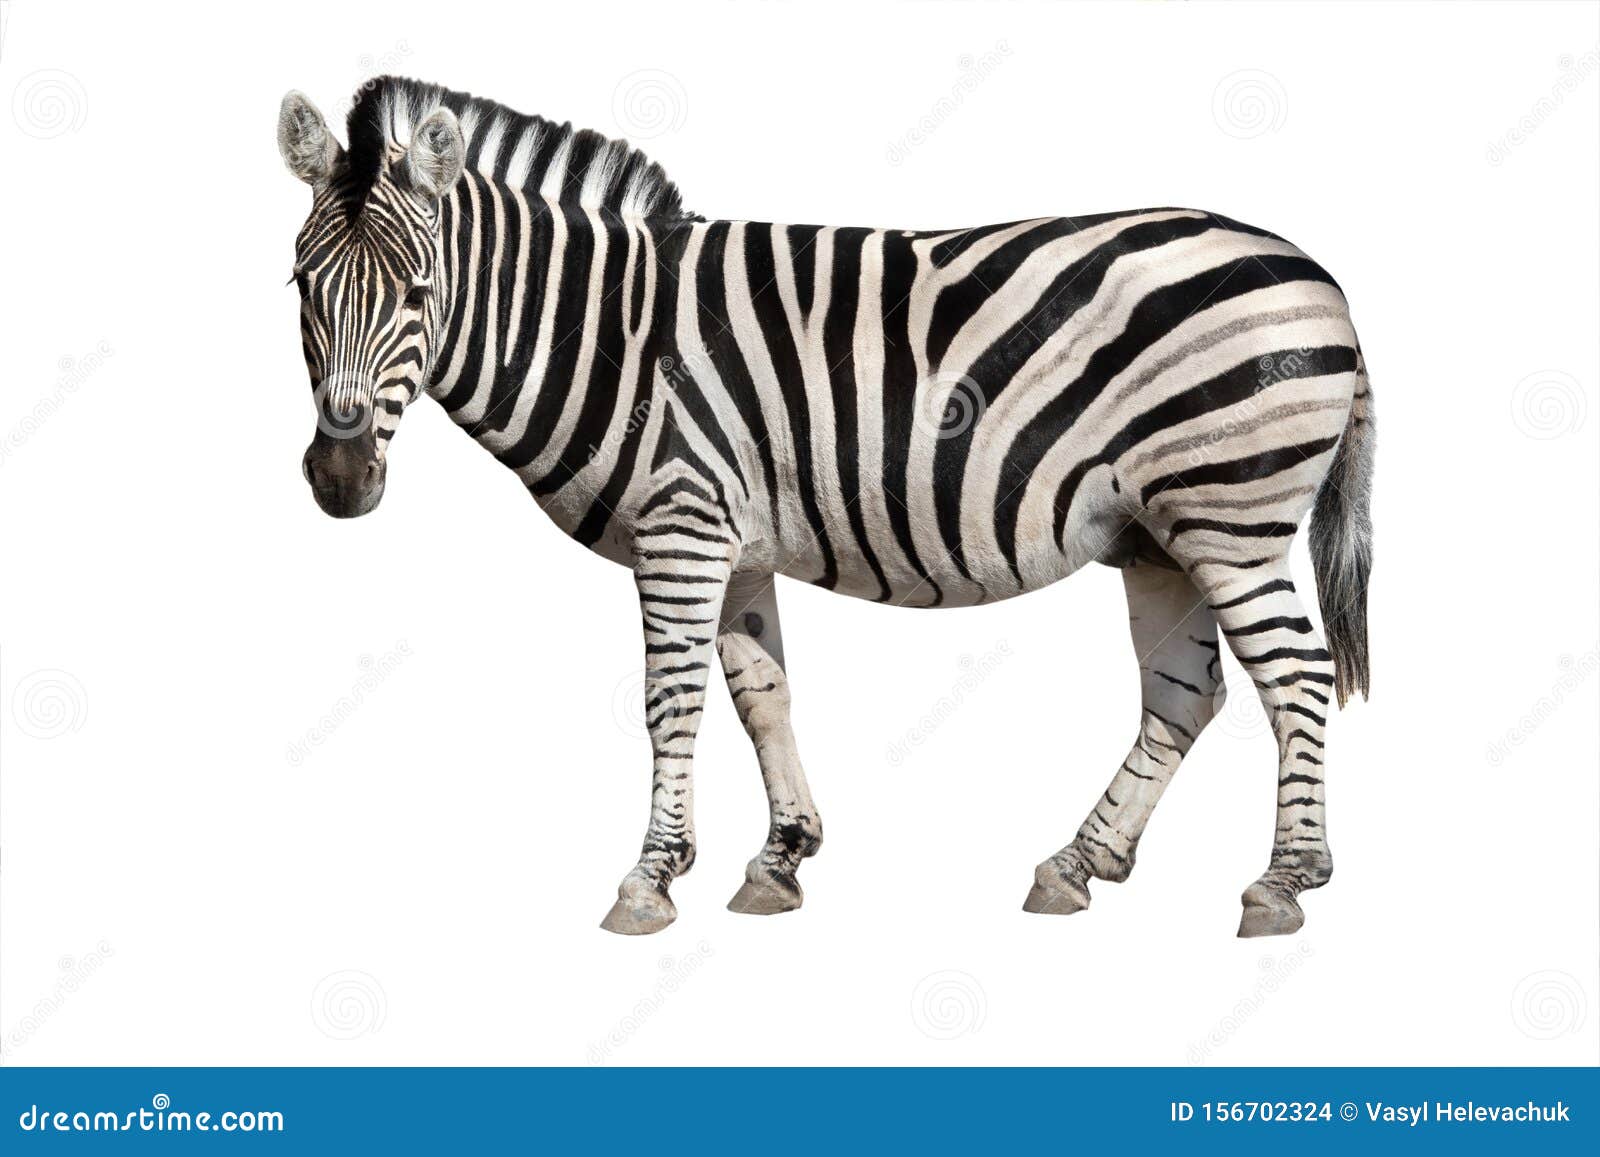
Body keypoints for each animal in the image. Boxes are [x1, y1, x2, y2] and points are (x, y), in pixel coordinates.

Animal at [278, 76, 1373, 938]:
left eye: (418, 292)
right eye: (298, 286)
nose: (338, 478)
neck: (608, 333)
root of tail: (1320, 276)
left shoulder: (680, 525)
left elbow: (670, 700)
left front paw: (649, 877)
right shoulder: (731, 542)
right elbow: (762, 693)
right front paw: (778, 859)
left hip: (1230, 517)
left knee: (1298, 677)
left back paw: (1284, 880)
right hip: (1157, 535)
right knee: (1184, 696)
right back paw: (1077, 863)